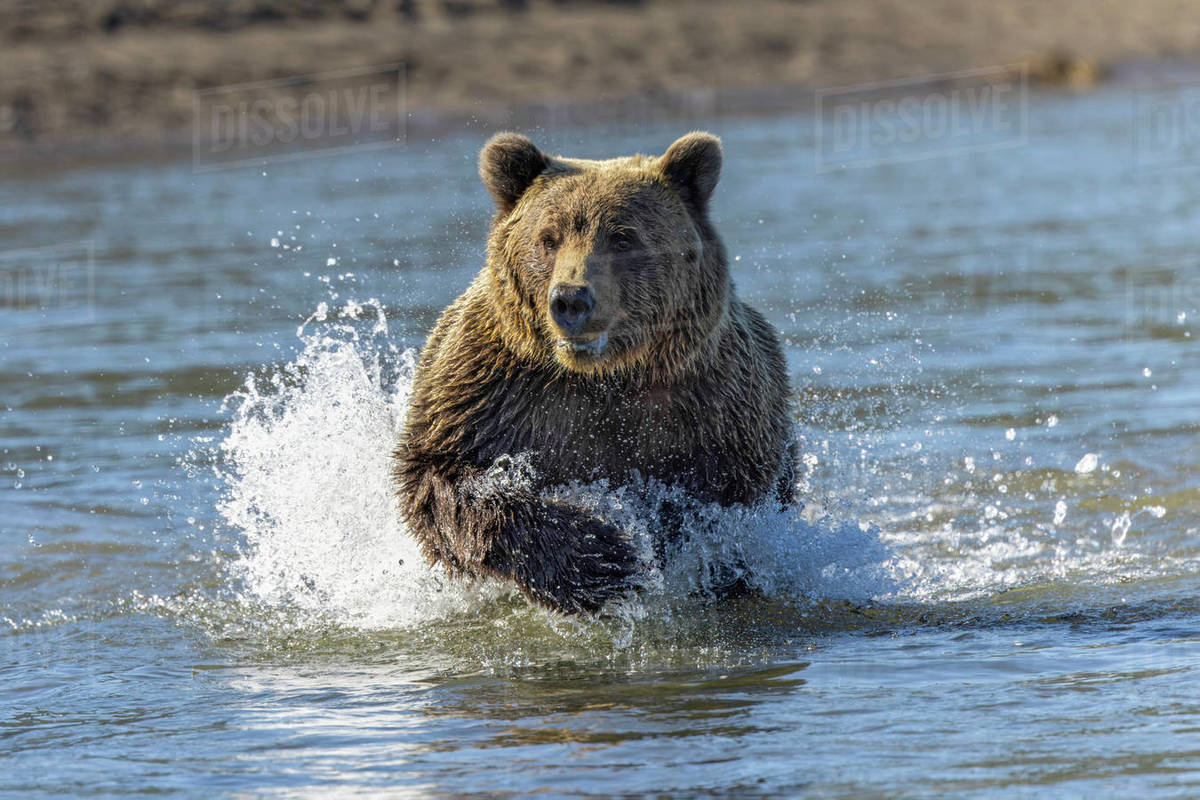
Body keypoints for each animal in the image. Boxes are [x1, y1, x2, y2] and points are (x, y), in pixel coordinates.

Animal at [393, 131, 796, 614]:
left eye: (622, 238)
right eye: (548, 238)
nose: (571, 300)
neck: (604, 376)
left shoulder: (714, 408)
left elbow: (720, 502)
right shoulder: (492, 393)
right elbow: (442, 478)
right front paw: (599, 555)